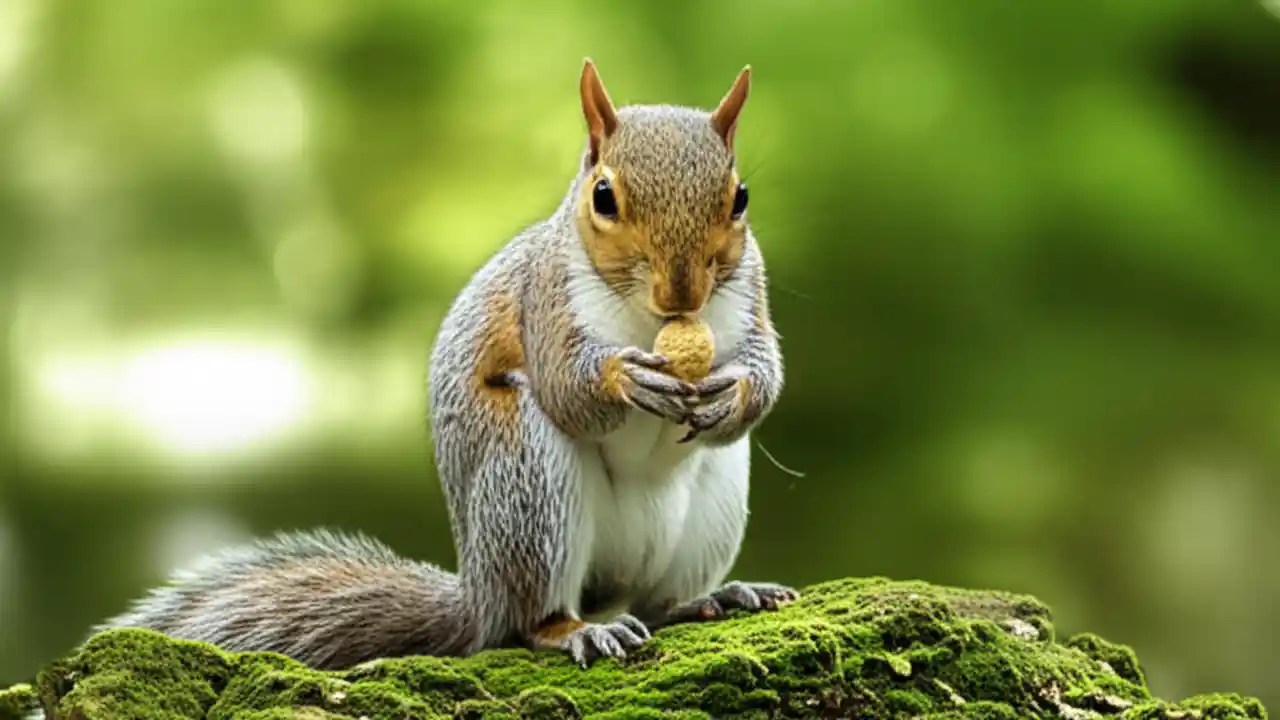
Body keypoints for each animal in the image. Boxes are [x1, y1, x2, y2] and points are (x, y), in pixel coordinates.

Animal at [96, 60, 794, 670]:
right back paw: (572, 629)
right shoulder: (544, 301)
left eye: (740, 198)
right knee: (529, 619)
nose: (682, 295)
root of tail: (479, 598)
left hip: (712, 504)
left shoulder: (752, 297)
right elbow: (568, 389)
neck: (651, 319)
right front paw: (627, 378)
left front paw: (736, 391)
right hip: (525, 484)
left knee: (655, 602)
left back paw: (712, 597)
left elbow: (766, 367)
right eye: (604, 197)